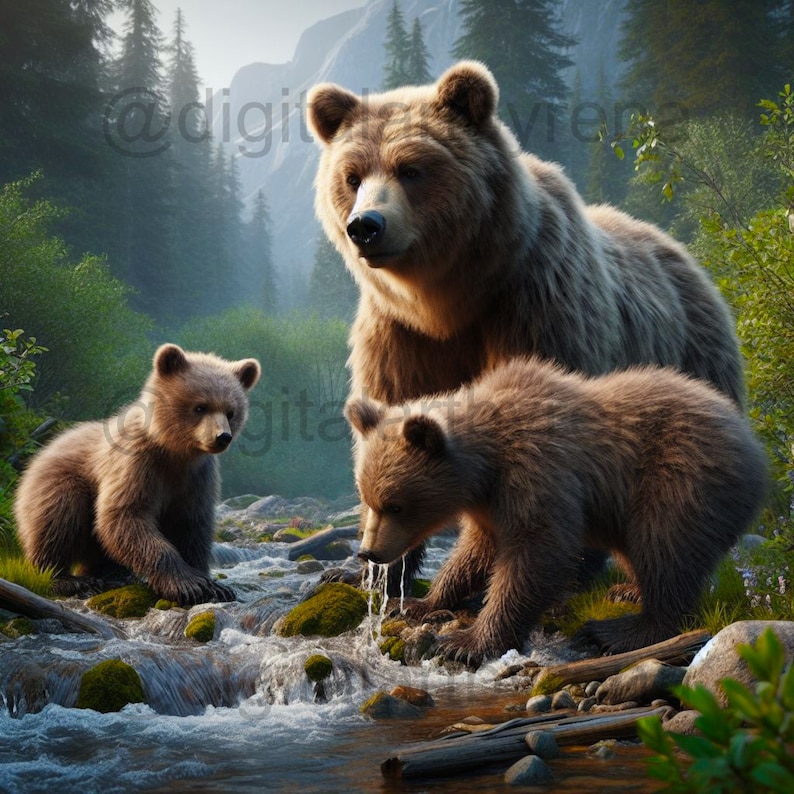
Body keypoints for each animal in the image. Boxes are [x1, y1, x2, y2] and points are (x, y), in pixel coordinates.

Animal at [14, 343, 261, 606]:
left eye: (231, 411)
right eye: (200, 406)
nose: (222, 436)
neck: (174, 452)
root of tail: (42, 450)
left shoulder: (197, 477)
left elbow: (192, 527)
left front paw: (214, 585)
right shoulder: (137, 463)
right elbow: (126, 515)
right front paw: (189, 584)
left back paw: (112, 575)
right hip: (58, 481)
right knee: (58, 520)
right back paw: (67, 579)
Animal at [307, 60, 746, 595]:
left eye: (410, 169)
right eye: (352, 176)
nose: (366, 226)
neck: (449, 300)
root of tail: (686, 256)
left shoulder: (535, 305)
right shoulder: (401, 338)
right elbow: (396, 422)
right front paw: (374, 572)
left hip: (692, 357)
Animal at [345, 356, 767, 666]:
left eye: (395, 505)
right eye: (367, 497)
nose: (369, 552)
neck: (486, 466)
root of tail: (749, 439)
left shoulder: (538, 468)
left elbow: (538, 551)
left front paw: (465, 641)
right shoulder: (491, 503)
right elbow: (475, 551)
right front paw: (420, 604)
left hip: (679, 474)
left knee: (665, 546)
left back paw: (620, 630)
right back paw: (628, 590)